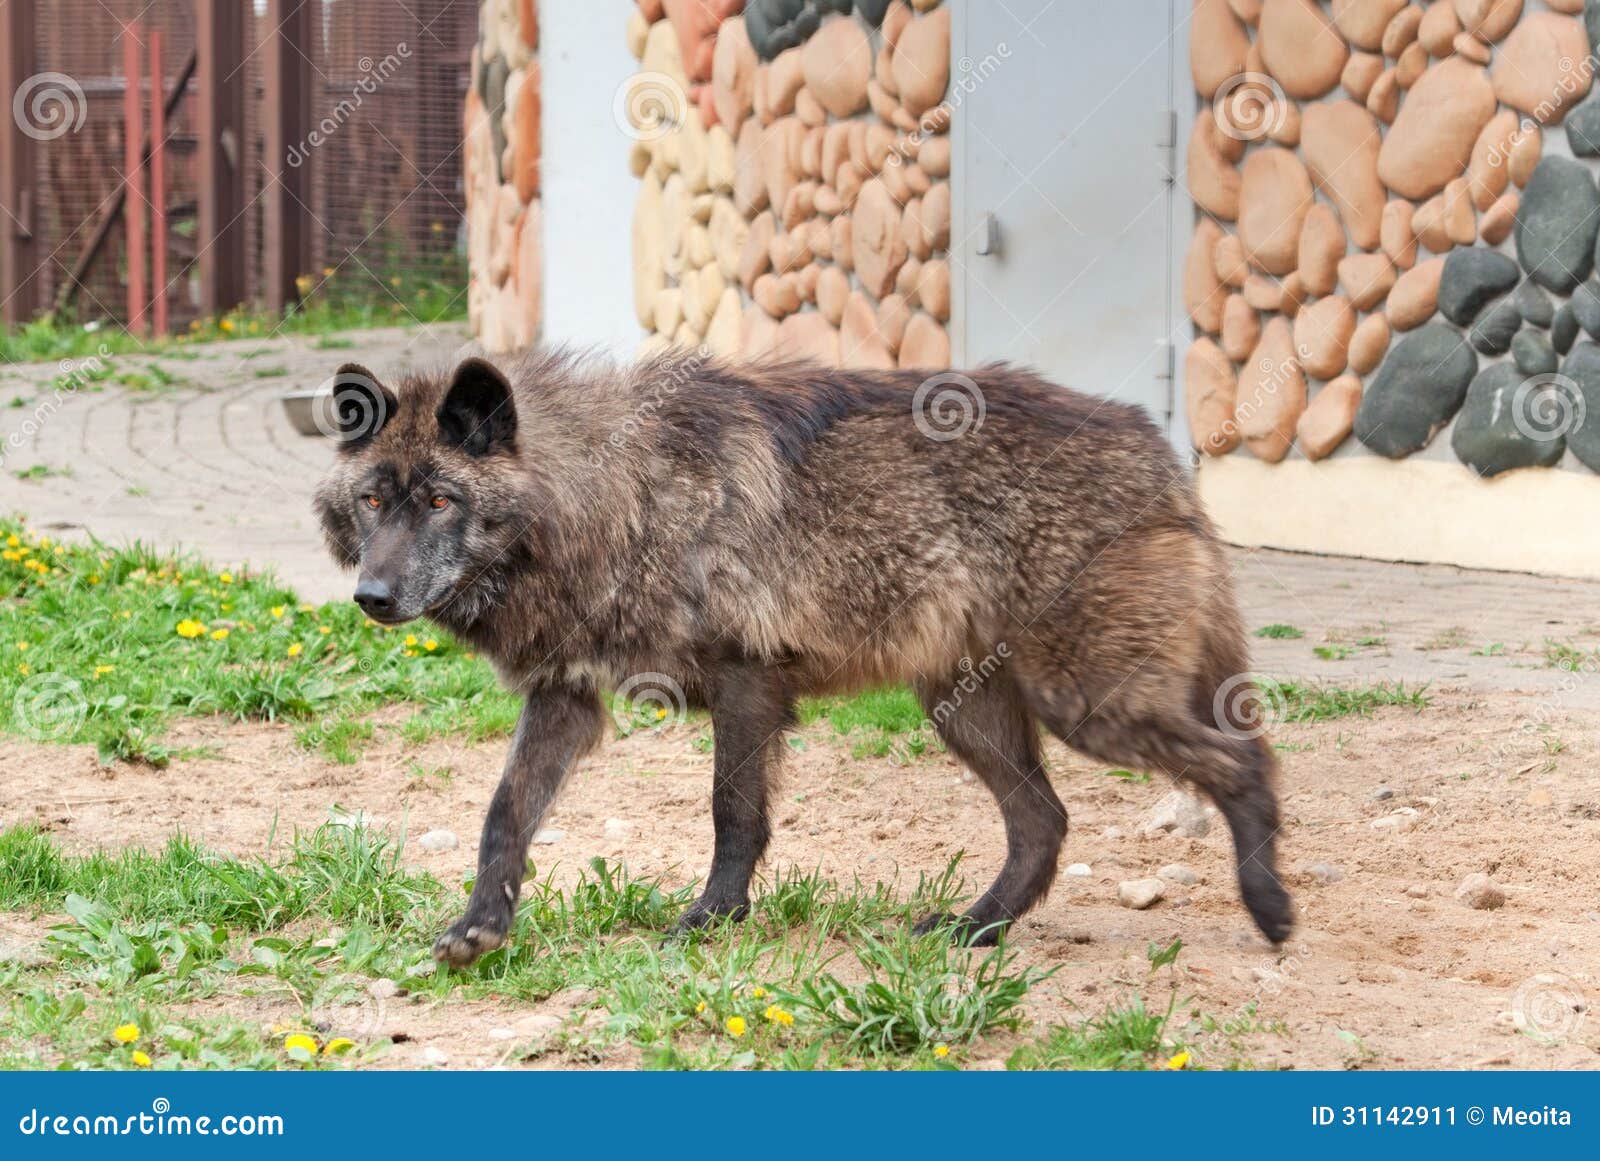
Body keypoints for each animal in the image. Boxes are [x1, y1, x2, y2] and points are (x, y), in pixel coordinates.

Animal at [313, 350, 1293, 967]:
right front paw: (481, 926)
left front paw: (710, 920)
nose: (373, 596)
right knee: (1044, 821)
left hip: (1085, 703)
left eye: (441, 499)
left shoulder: (747, 681)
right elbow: (503, 814)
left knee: (1241, 759)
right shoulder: (565, 698)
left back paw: (1270, 907)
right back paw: (971, 931)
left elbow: (732, 815)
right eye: (373, 501)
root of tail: (1158, 448)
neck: (617, 493)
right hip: (967, 710)